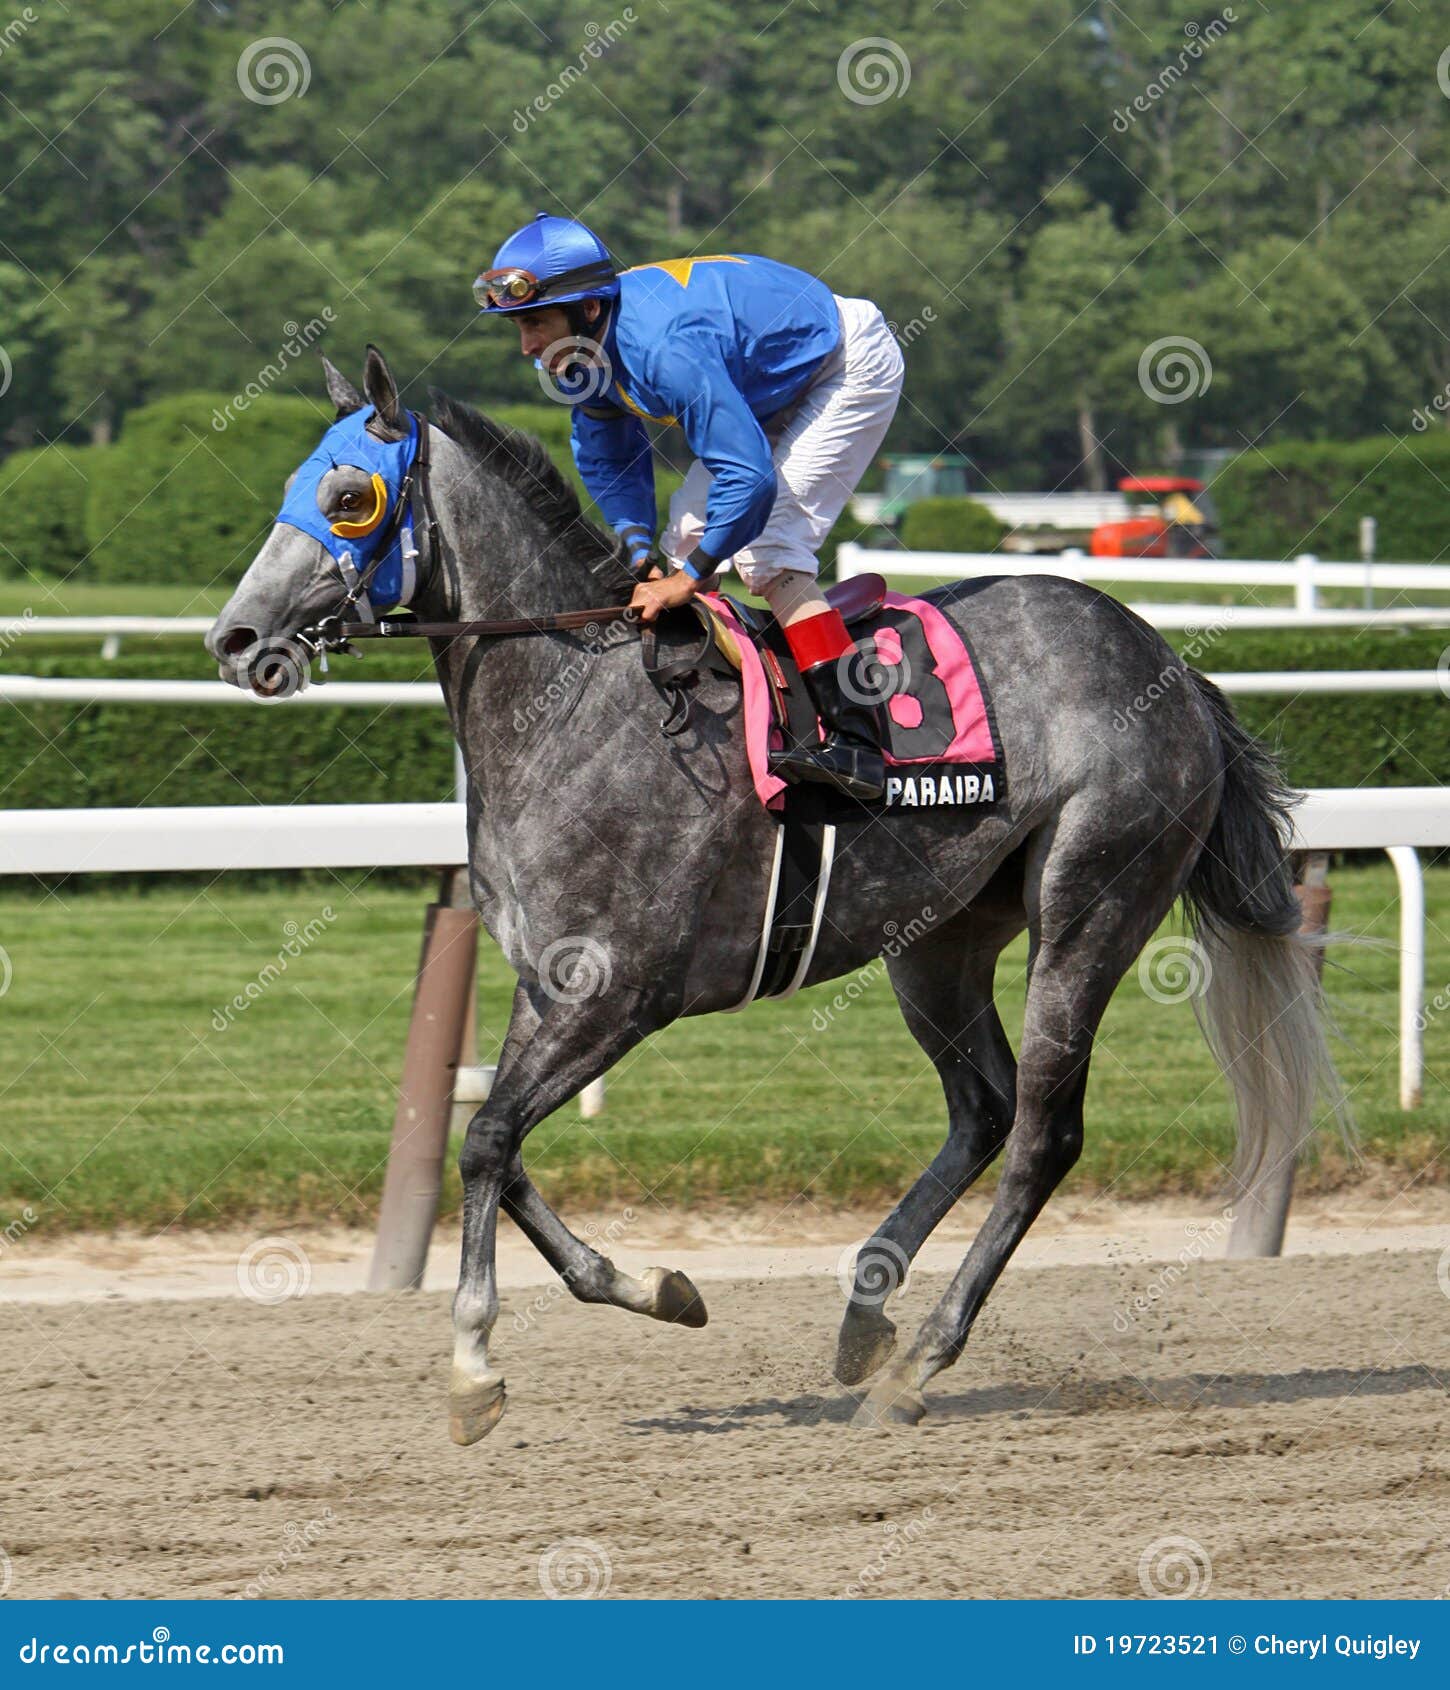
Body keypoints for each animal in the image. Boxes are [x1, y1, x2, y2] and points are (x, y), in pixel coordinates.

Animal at [206, 347, 1344, 1445]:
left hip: (1091, 901)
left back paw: (916, 1365)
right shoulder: (546, 984)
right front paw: (656, 1287)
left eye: (348, 494)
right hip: (937, 936)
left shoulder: (620, 995)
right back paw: (865, 1315)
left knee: (1041, 1134)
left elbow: (489, 1141)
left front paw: (474, 1365)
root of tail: (1169, 662)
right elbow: (498, 1143)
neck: (574, 708)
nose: (234, 637)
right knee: (982, 1107)